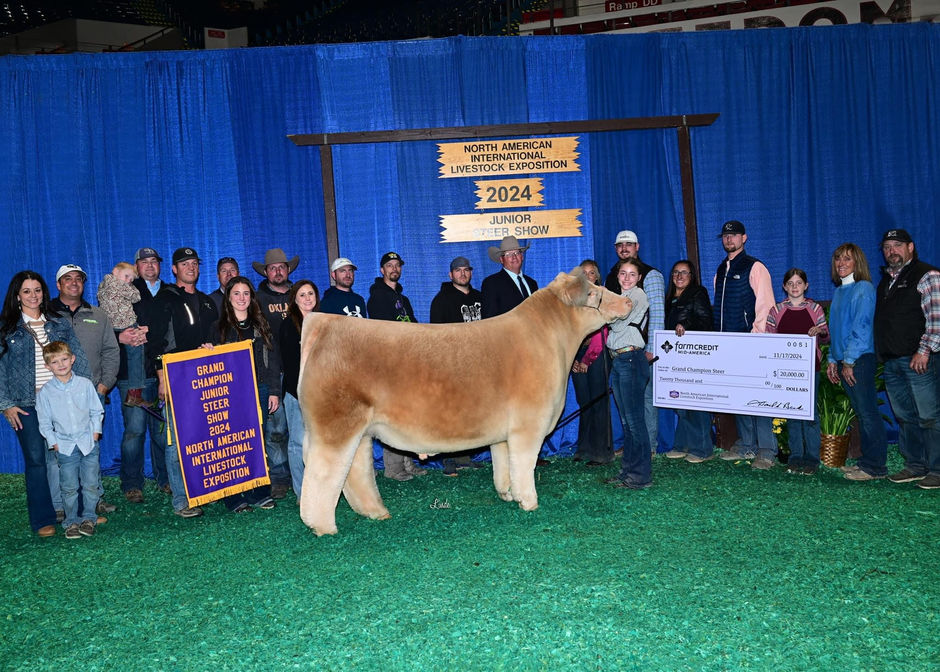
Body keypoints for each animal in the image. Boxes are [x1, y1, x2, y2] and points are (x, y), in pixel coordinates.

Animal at [297, 267, 632, 535]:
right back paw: (323, 526)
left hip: (360, 430)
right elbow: (524, 465)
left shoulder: (505, 434)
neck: (553, 341)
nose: (628, 301)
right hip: (336, 426)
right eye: (595, 292)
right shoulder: (529, 426)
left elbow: (504, 465)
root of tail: (322, 324)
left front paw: (508, 494)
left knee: (355, 470)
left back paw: (376, 512)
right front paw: (529, 502)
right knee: (322, 474)